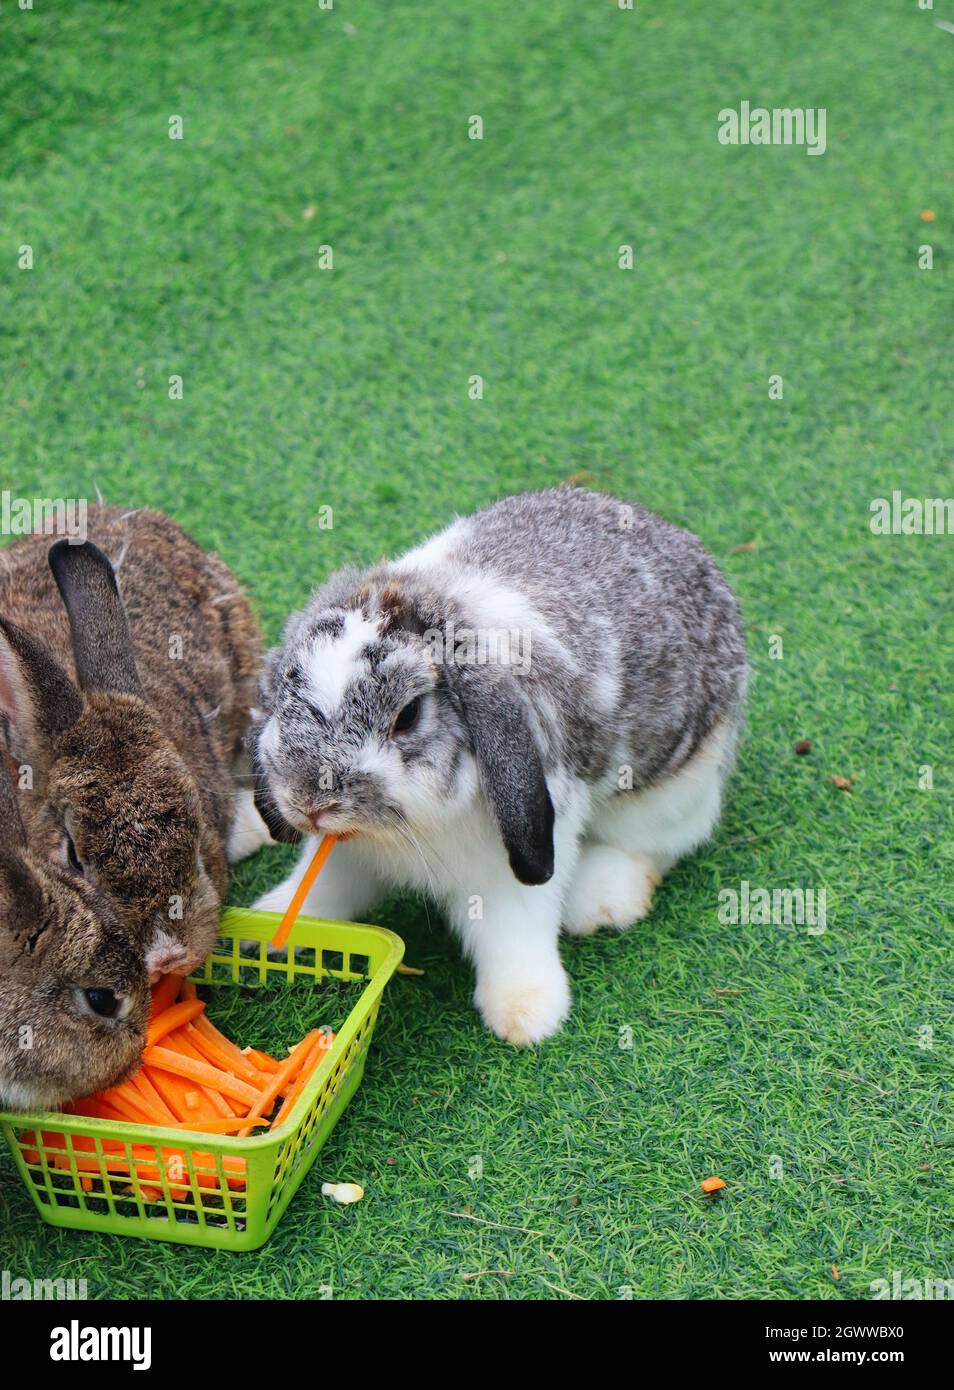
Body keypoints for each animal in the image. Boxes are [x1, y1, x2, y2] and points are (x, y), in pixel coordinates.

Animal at [250, 487, 748, 1045]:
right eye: (287, 690)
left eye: (408, 715)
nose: (309, 803)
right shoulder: (347, 857)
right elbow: (322, 891)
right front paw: (268, 930)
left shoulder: (516, 864)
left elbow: (515, 933)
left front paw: (526, 1016)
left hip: (675, 790)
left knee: (662, 845)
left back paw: (600, 901)